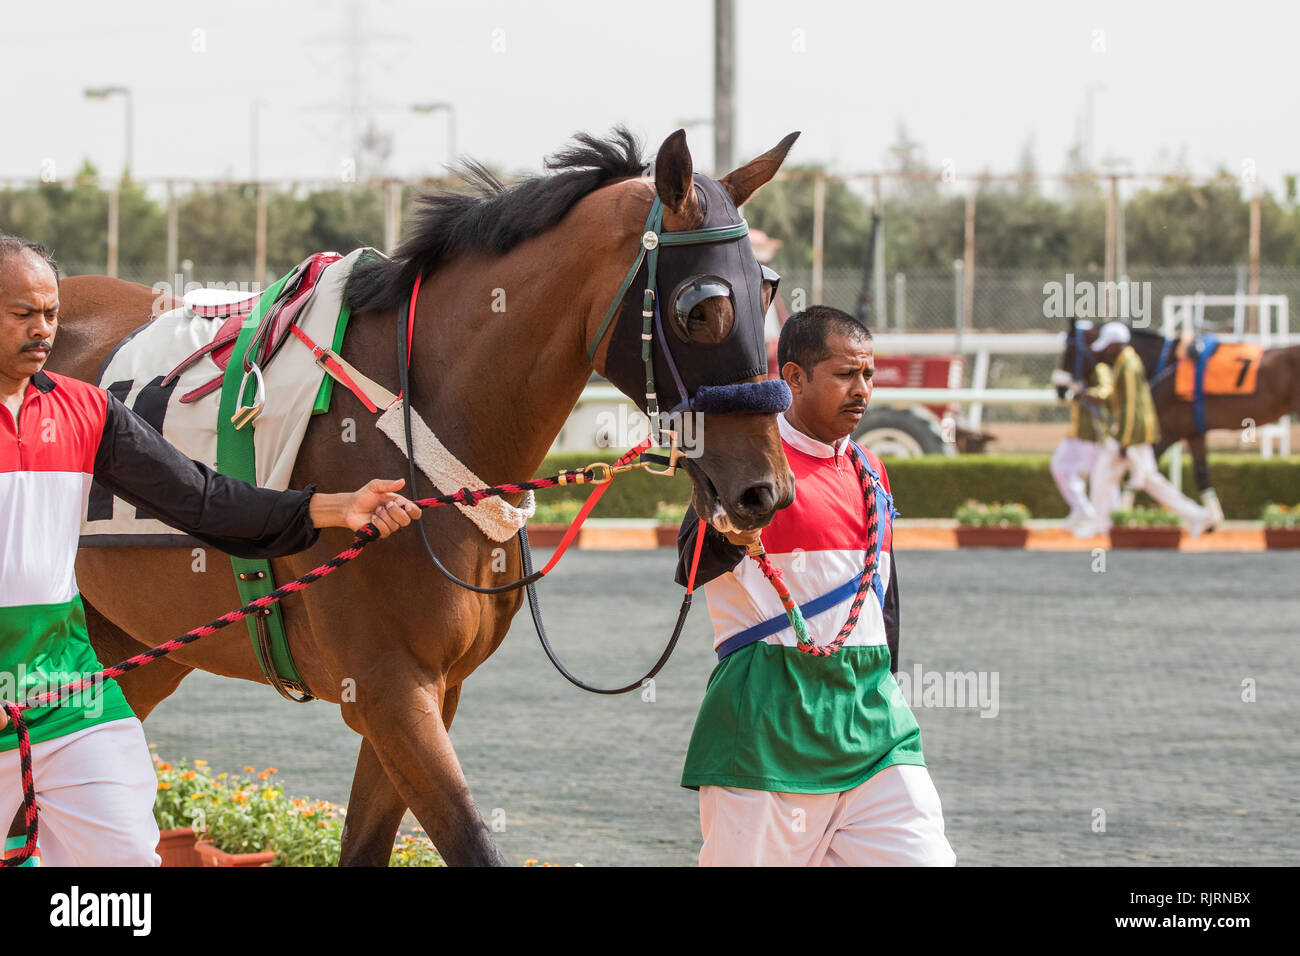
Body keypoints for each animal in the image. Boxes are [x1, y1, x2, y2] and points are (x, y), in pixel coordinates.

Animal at [33, 127, 800, 865]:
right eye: (702, 307)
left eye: (767, 290)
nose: (766, 490)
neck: (414, 416)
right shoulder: (388, 689)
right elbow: (470, 840)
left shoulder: (431, 691)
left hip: (134, 646)